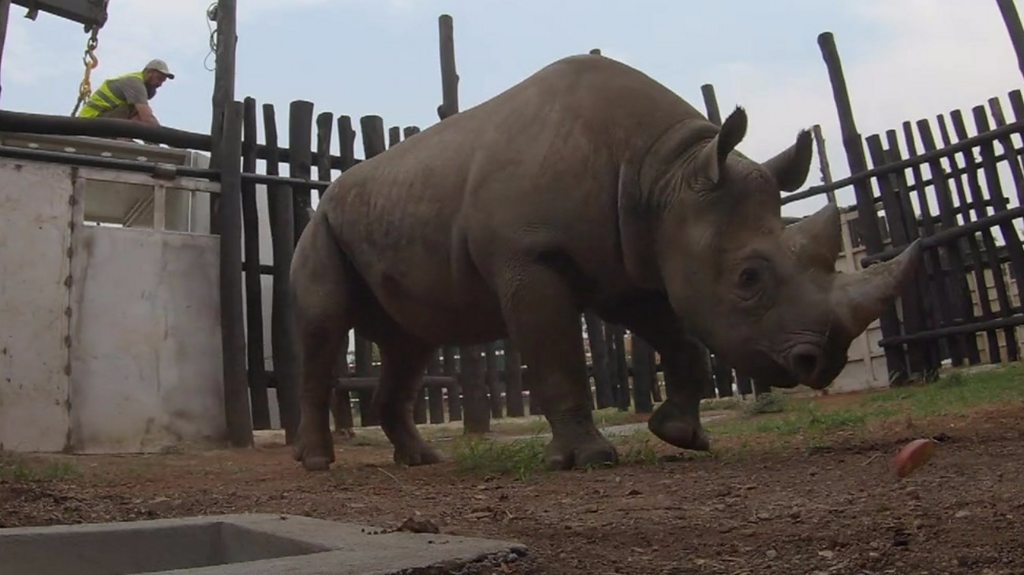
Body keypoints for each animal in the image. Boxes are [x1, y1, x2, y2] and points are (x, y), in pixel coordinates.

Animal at [289, 54, 921, 472]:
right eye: (749, 278)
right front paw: (589, 459)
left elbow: (683, 344)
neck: (668, 174)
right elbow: (559, 359)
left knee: (410, 343)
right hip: (318, 228)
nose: (824, 362)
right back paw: (318, 464)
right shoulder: (529, 255)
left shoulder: (630, 267)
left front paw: (683, 437)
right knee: (323, 326)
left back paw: (422, 460)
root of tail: (331, 189)